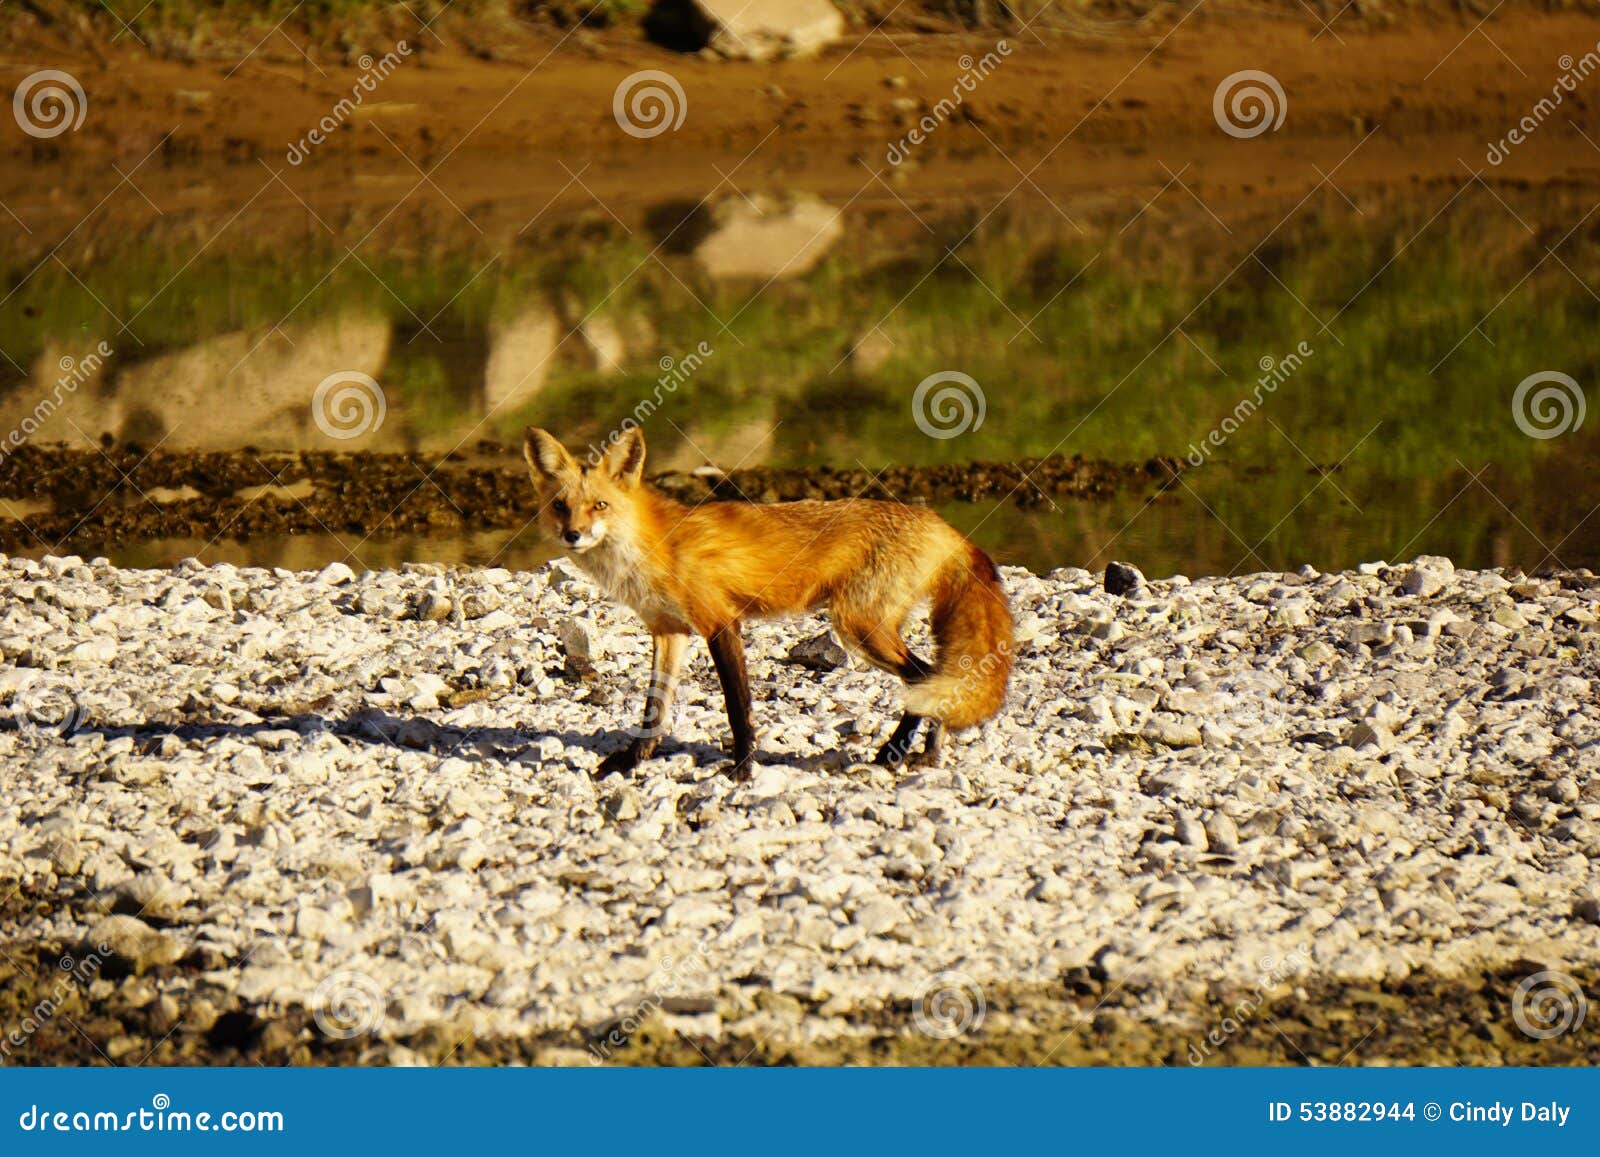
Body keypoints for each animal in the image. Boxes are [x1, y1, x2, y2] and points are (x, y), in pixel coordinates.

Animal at [522, 425, 1013, 775]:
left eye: (600, 506)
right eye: (561, 506)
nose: (573, 535)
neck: (652, 546)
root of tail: (939, 523)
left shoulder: (719, 622)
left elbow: (737, 707)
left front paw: (742, 768)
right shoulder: (669, 632)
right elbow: (653, 710)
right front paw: (631, 760)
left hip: (858, 627)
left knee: (926, 677)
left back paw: (900, 750)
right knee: (932, 680)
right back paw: (925, 751)